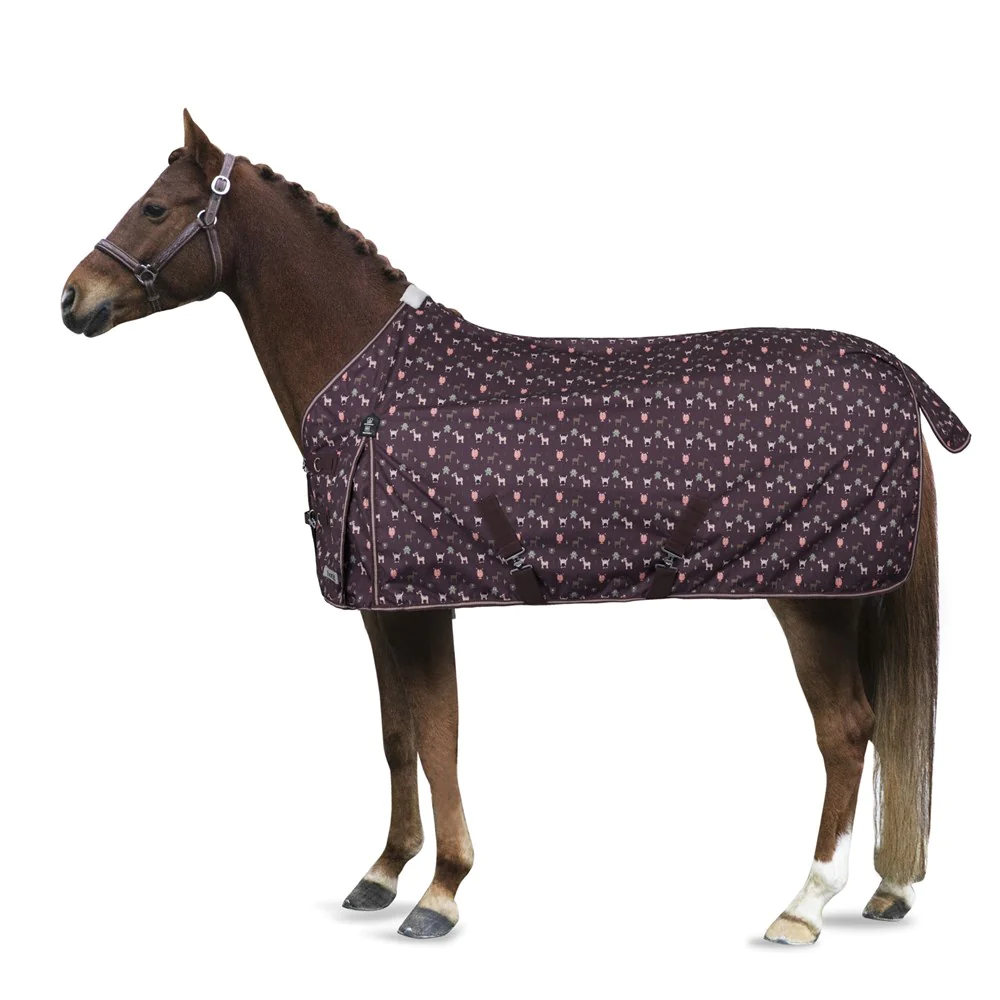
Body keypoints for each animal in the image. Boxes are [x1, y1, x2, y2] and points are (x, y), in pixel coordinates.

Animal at [62, 110, 959, 944]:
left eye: (155, 207)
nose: (73, 297)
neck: (375, 393)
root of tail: (892, 374)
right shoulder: (383, 610)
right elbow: (397, 737)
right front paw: (383, 872)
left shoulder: (424, 609)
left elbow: (440, 737)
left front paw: (440, 892)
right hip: (848, 599)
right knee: (881, 730)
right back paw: (888, 890)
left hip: (810, 601)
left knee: (846, 732)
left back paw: (803, 907)